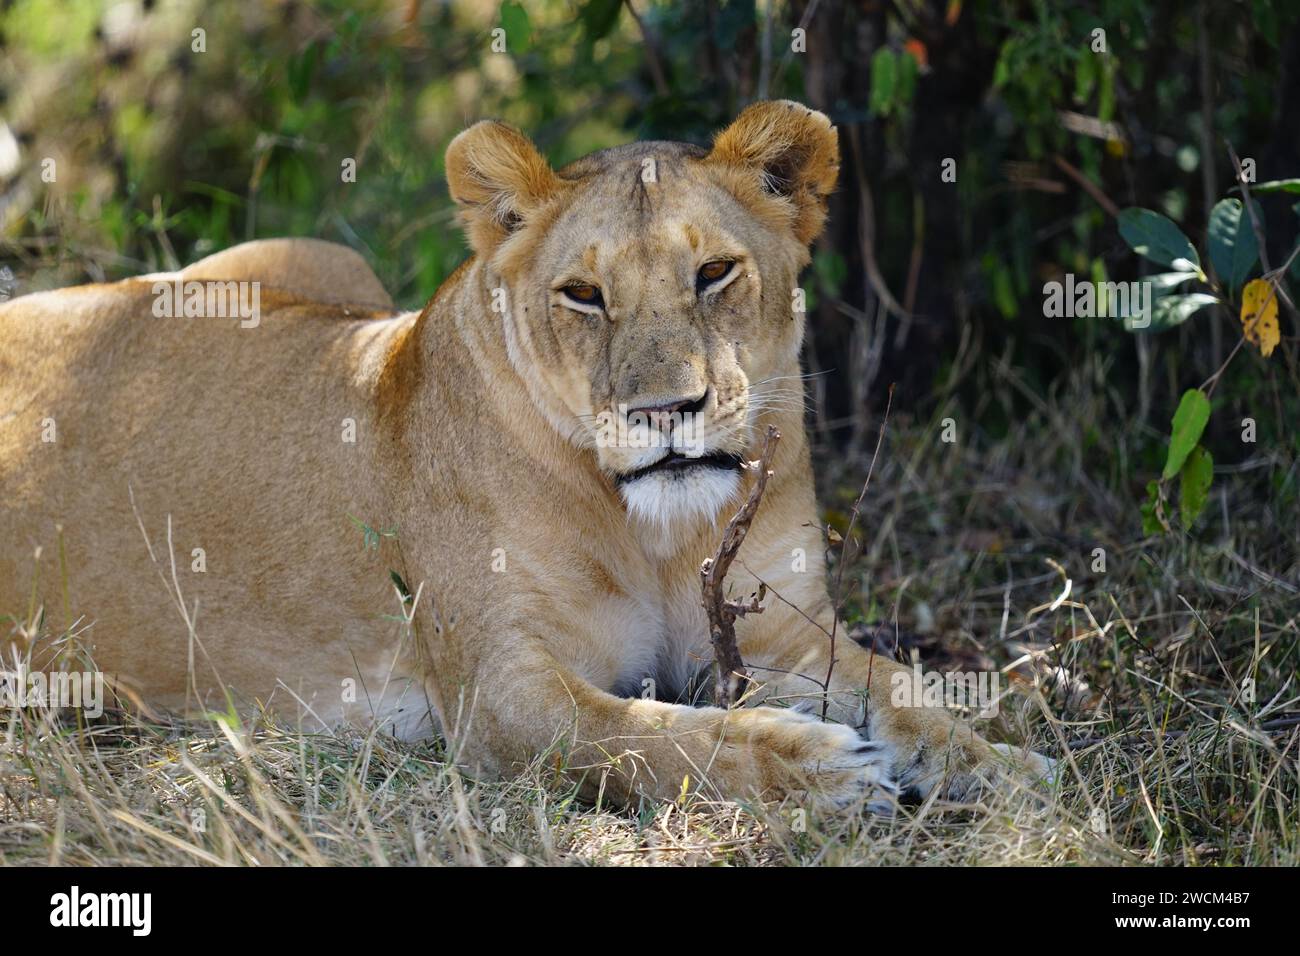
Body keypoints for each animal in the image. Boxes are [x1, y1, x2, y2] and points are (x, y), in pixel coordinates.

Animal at [0, 101, 1051, 810]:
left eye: (714, 272)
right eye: (583, 294)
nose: (667, 411)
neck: (654, 536)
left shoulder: (784, 632)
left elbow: (904, 687)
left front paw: (1001, 767)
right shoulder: (503, 697)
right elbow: (652, 743)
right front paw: (816, 768)